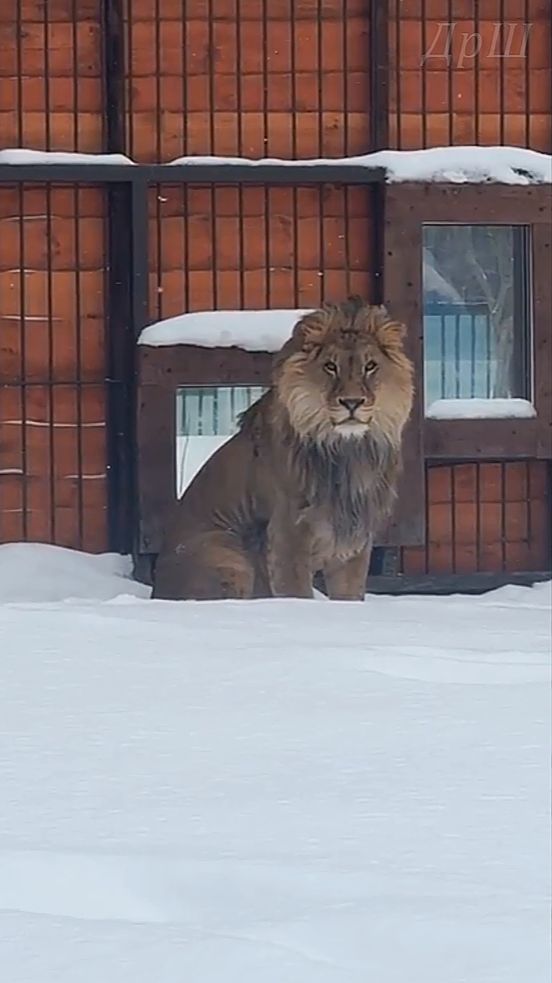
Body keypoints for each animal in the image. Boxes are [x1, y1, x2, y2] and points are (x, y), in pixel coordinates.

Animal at [152, 297, 414, 601]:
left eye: (370, 366)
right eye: (330, 366)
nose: (352, 402)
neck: (346, 450)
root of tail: (156, 591)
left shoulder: (353, 539)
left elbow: (350, 595)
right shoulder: (288, 533)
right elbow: (296, 592)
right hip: (229, 554)